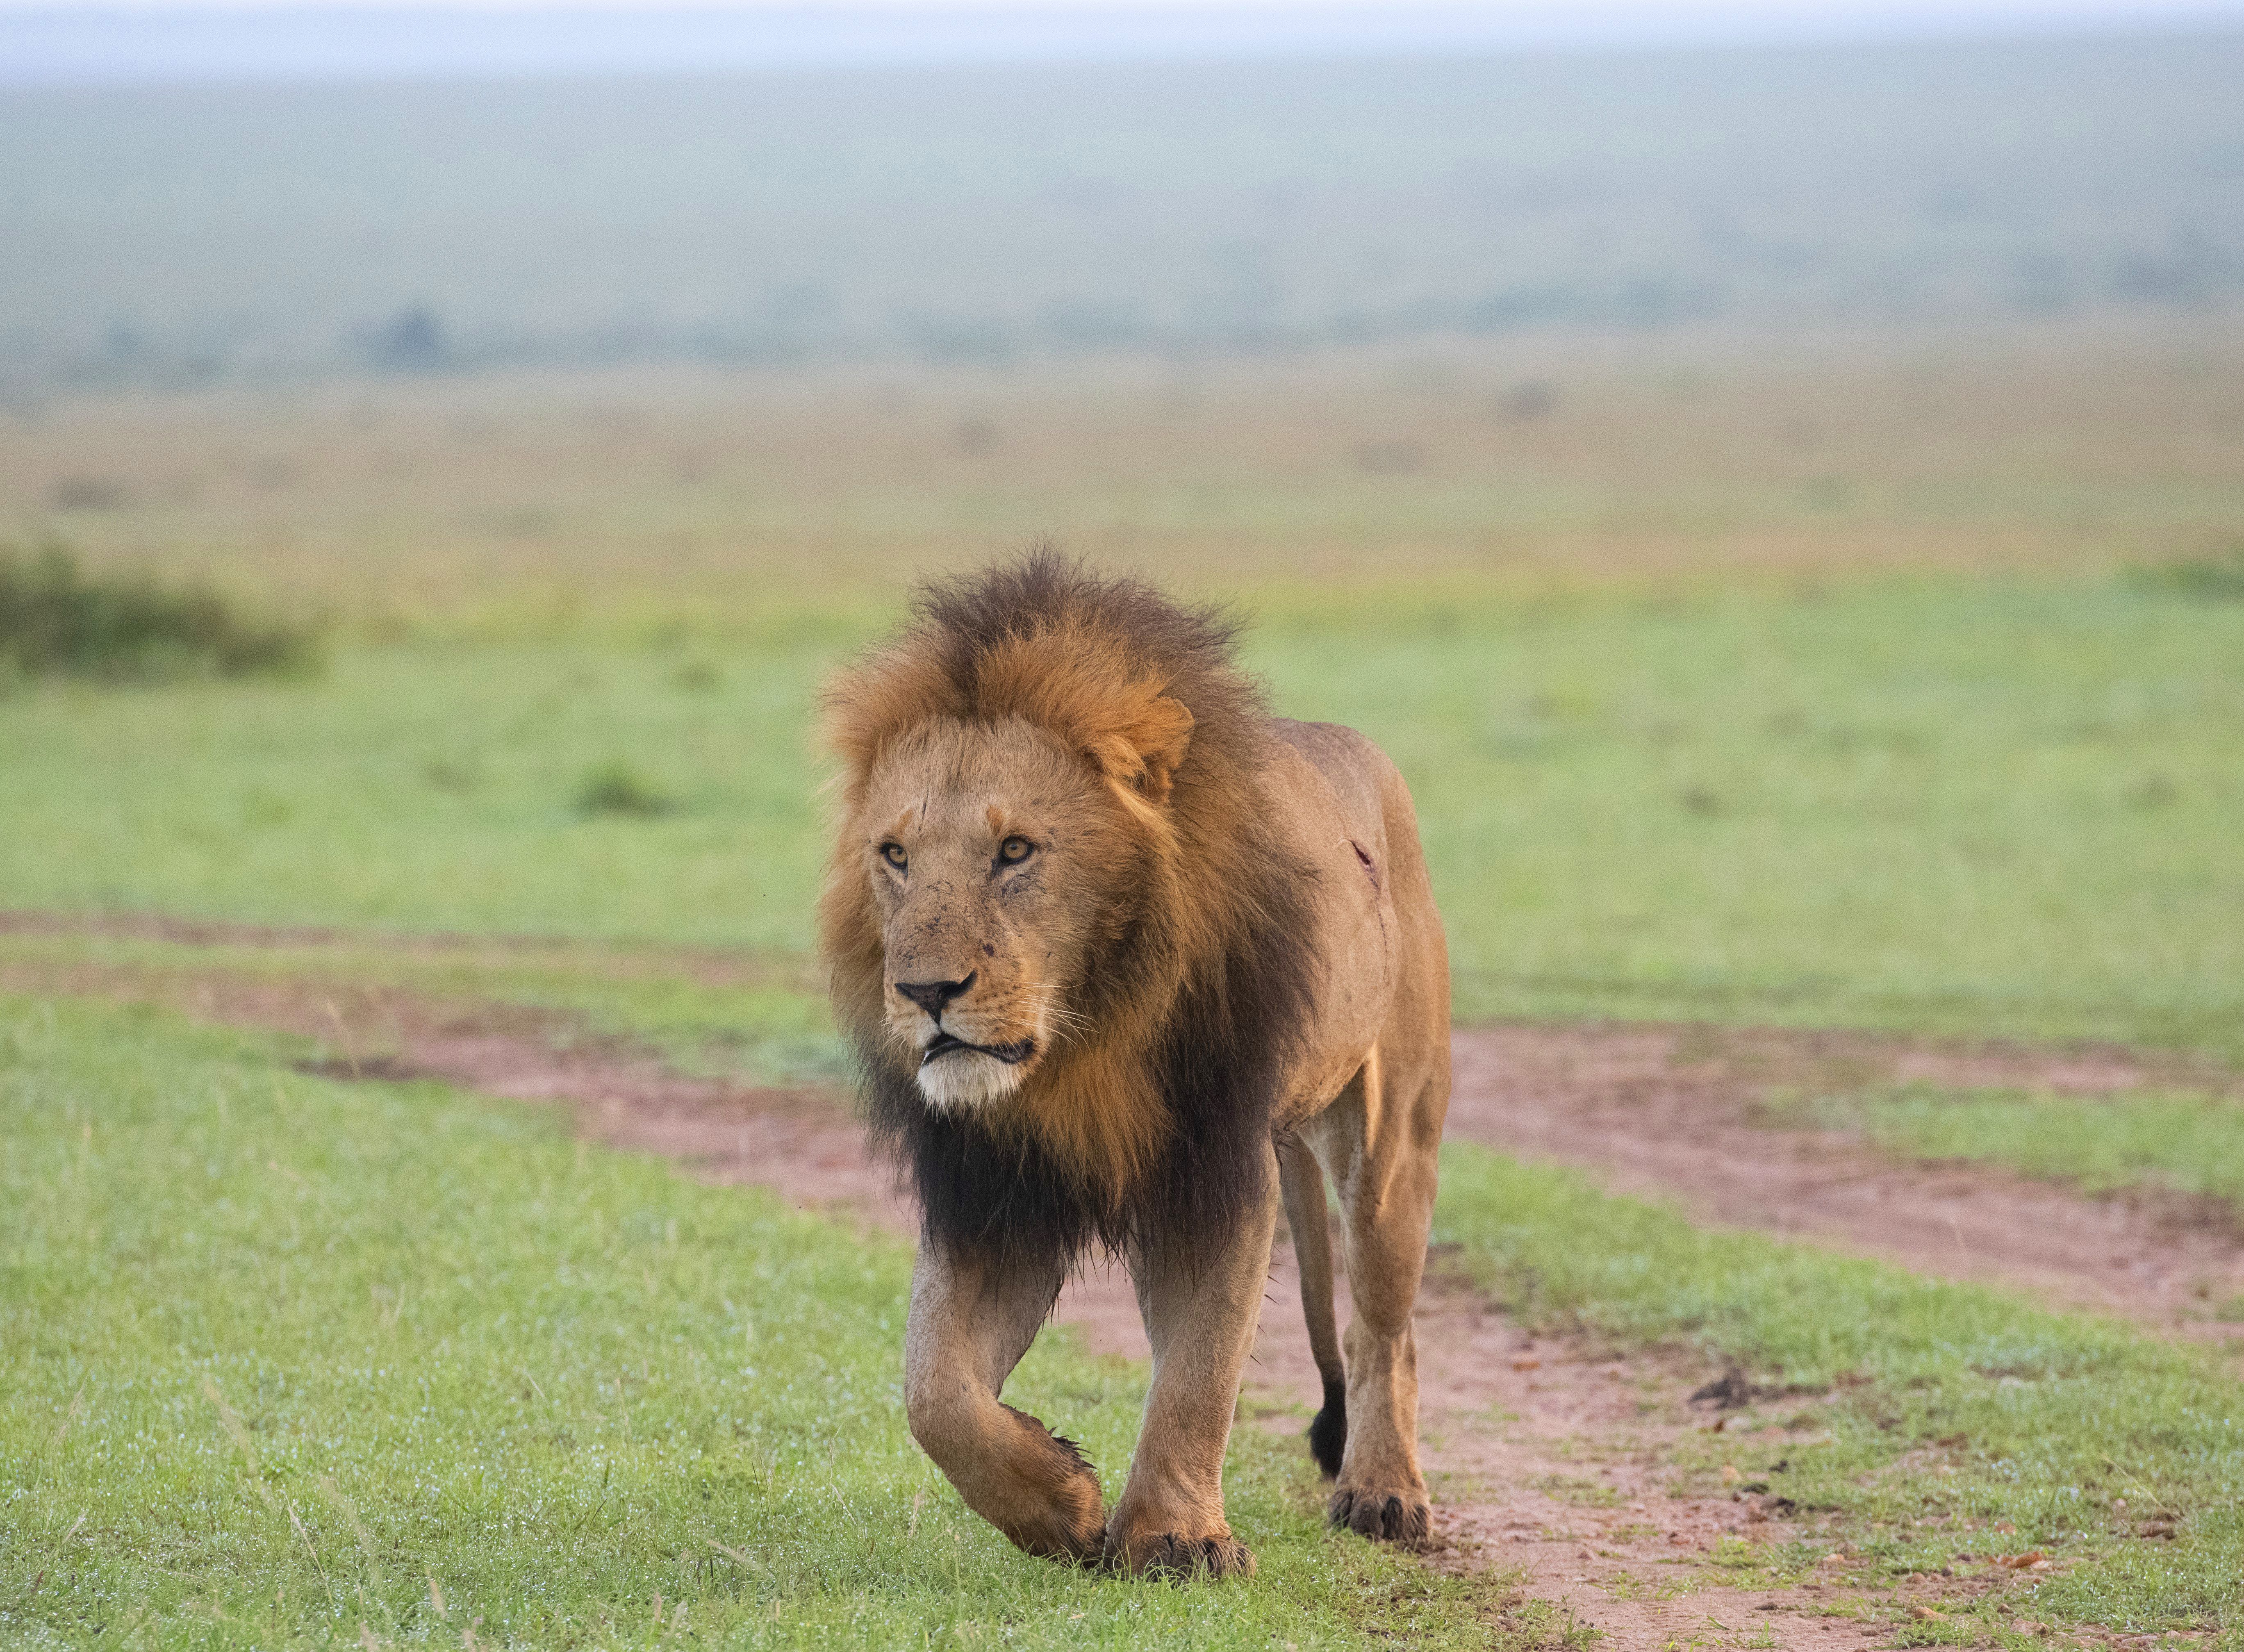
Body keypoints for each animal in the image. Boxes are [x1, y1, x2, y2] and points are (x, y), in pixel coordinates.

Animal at [817, 552, 1450, 1578]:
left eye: (1016, 849)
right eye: (896, 855)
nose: (925, 990)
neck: (1084, 1037)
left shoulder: (1214, 1170)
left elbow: (1199, 1371)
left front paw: (1175, 1539)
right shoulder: (993, 1188)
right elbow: (935, 1390)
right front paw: (1061, 1503)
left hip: (1392, 1138)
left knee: (1382, 1328)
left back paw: (1383, 1491)